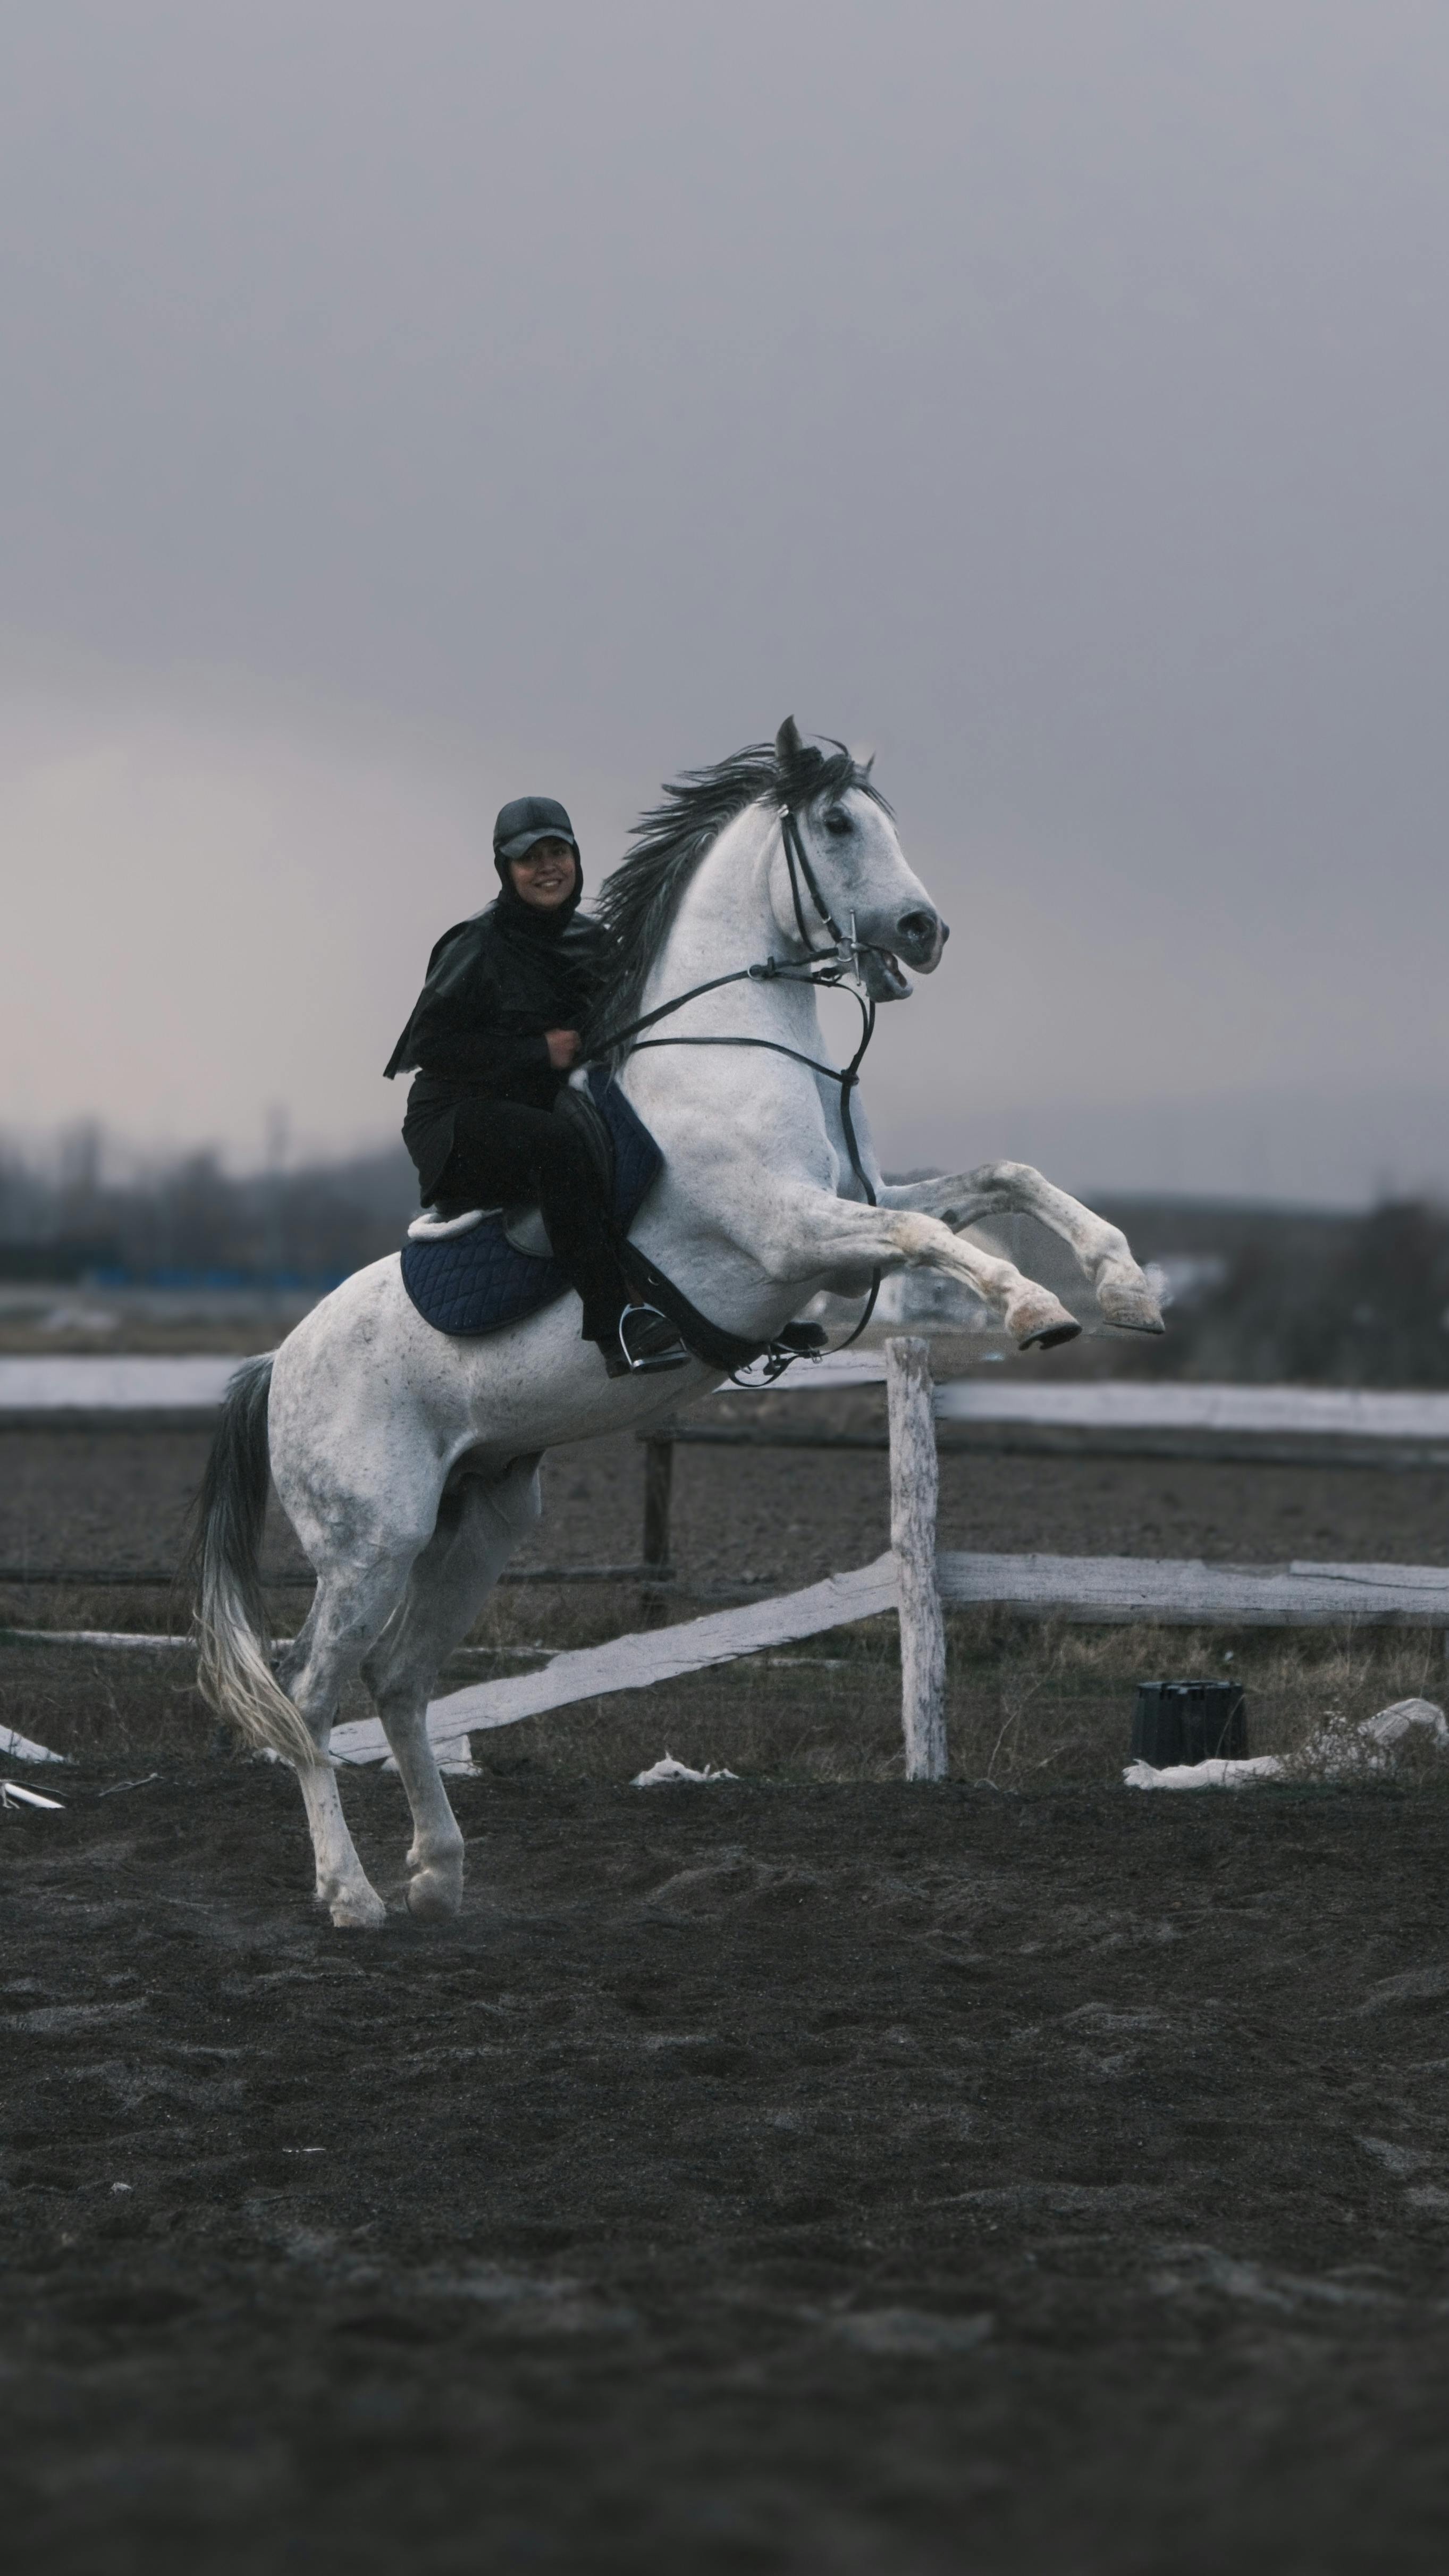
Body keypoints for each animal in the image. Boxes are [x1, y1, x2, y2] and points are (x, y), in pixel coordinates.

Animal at [190, 718, 1163, 1928]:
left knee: (400, 1679)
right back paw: (352, 1892)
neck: (738, 1048)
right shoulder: (798, 1234)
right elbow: (928, 1235)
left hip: (479, 1522)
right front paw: (1035, 1309)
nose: (924, 932)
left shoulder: (856, 1208)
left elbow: (1000, 1181)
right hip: (374, 1542)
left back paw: (439, 1869)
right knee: (312, 1695)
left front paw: (1124, 1285)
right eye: (836, 823)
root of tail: (278, 1363)